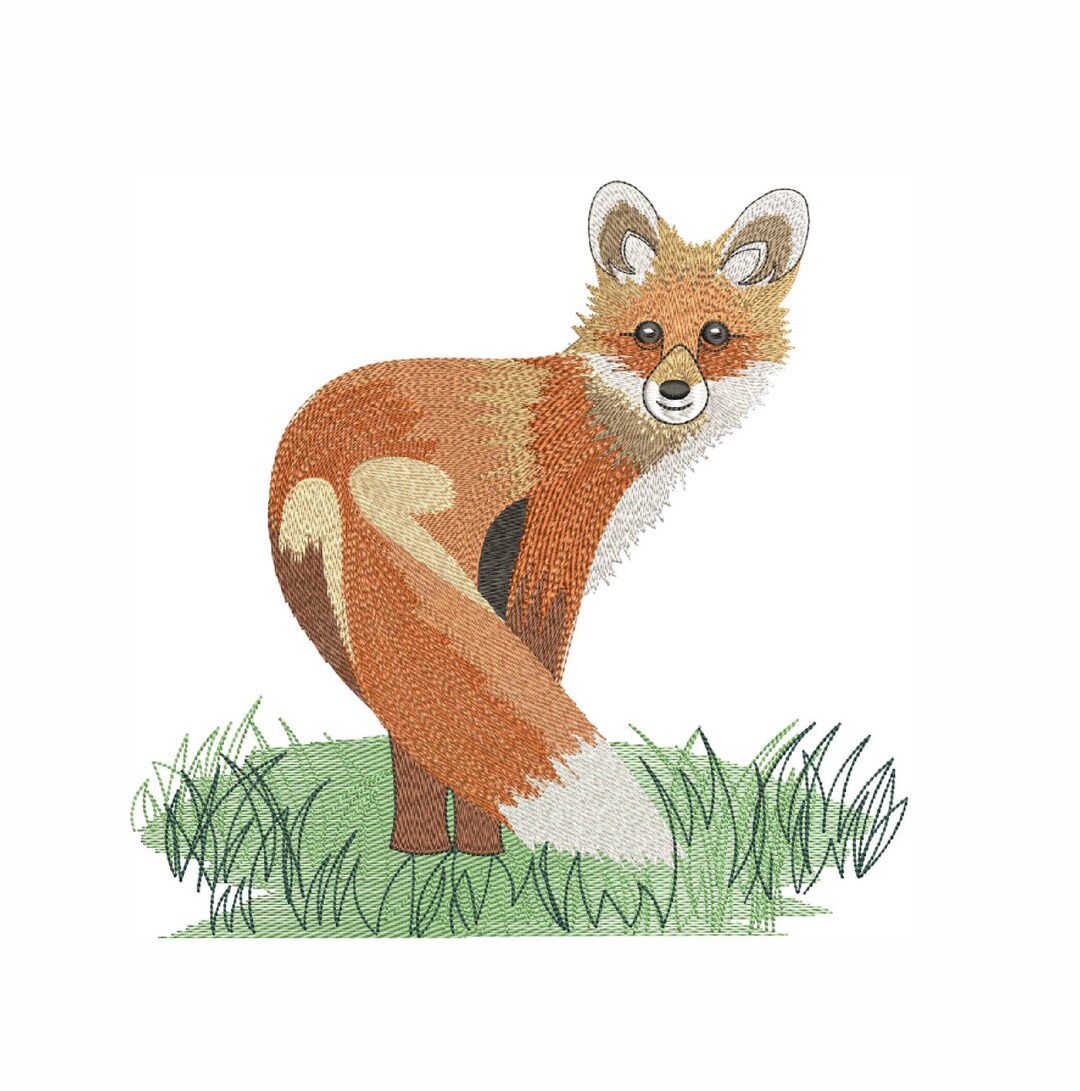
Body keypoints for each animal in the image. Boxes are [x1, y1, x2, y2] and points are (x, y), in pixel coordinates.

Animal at [269, 182, 808, 866]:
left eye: (715, 334)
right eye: (647, 333)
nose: (675, 392)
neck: (598, 418)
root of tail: (322, 453)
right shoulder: (548, 556)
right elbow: (540, 675)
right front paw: (500, 853)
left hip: (339, 622)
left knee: (405, 728)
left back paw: (419, 853)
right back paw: (469, 856)